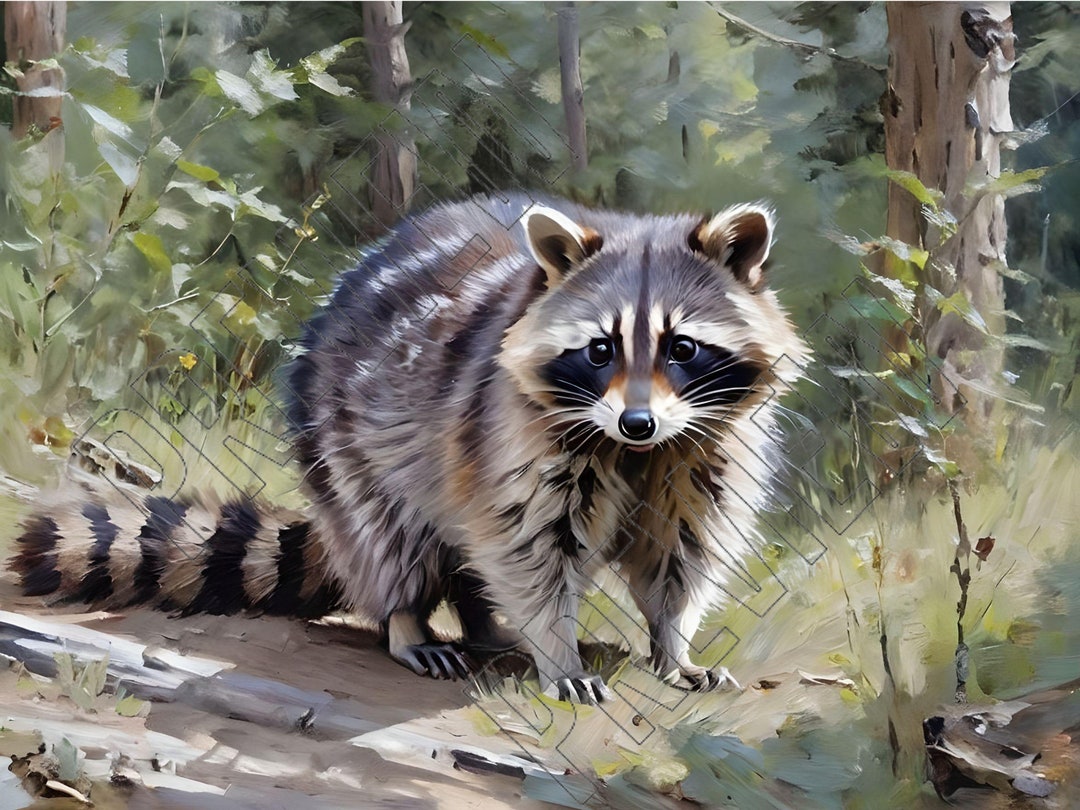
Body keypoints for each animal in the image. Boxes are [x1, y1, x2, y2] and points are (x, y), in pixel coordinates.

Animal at [12, 193, 809, 704]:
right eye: (600, 349)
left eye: (682, 348)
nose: (636, 422)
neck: (638, 450)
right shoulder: (511, 432)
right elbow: (532, 547)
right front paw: (557, 648)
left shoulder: (706, 448)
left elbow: (680, 553)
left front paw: (673, 645)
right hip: (344, 429)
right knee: (395, 531)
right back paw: (407, 619)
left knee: (475, 551)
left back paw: (485, 622)